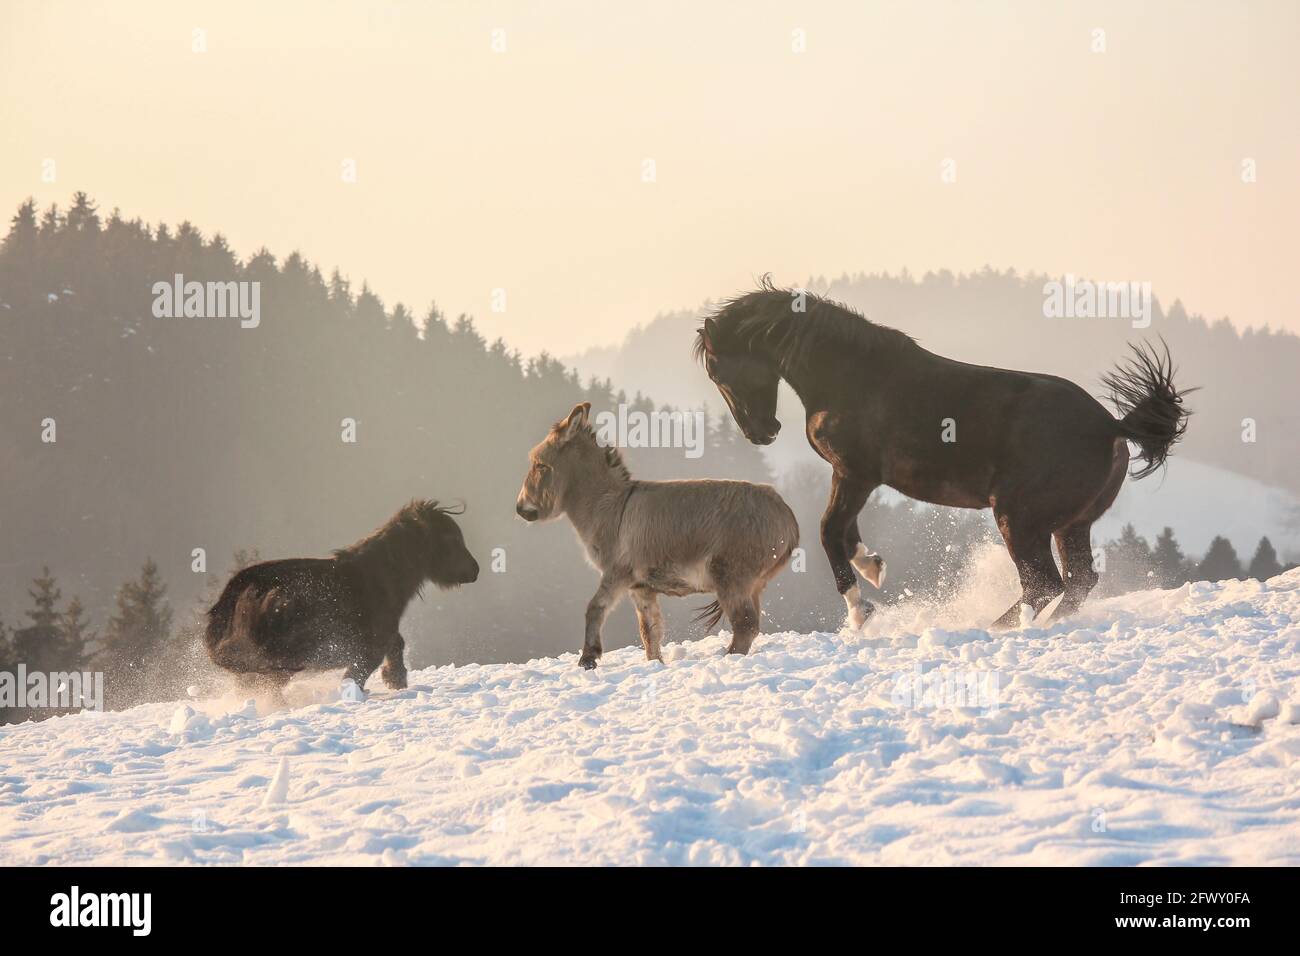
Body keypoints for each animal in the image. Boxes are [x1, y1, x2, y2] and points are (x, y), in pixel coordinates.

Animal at [695, 279, 1192, 629]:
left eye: (717, 368)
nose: (761, 433)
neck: (850, 375)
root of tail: (1112, 425)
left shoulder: (855, 473)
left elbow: (830, 532)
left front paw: (859, 611)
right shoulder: (853, 477)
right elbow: (846, 534)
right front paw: (873, 568)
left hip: (1019, 519)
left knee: (1045, 584)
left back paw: (993, 627)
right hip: (1071, 524)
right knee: (1077, 583)